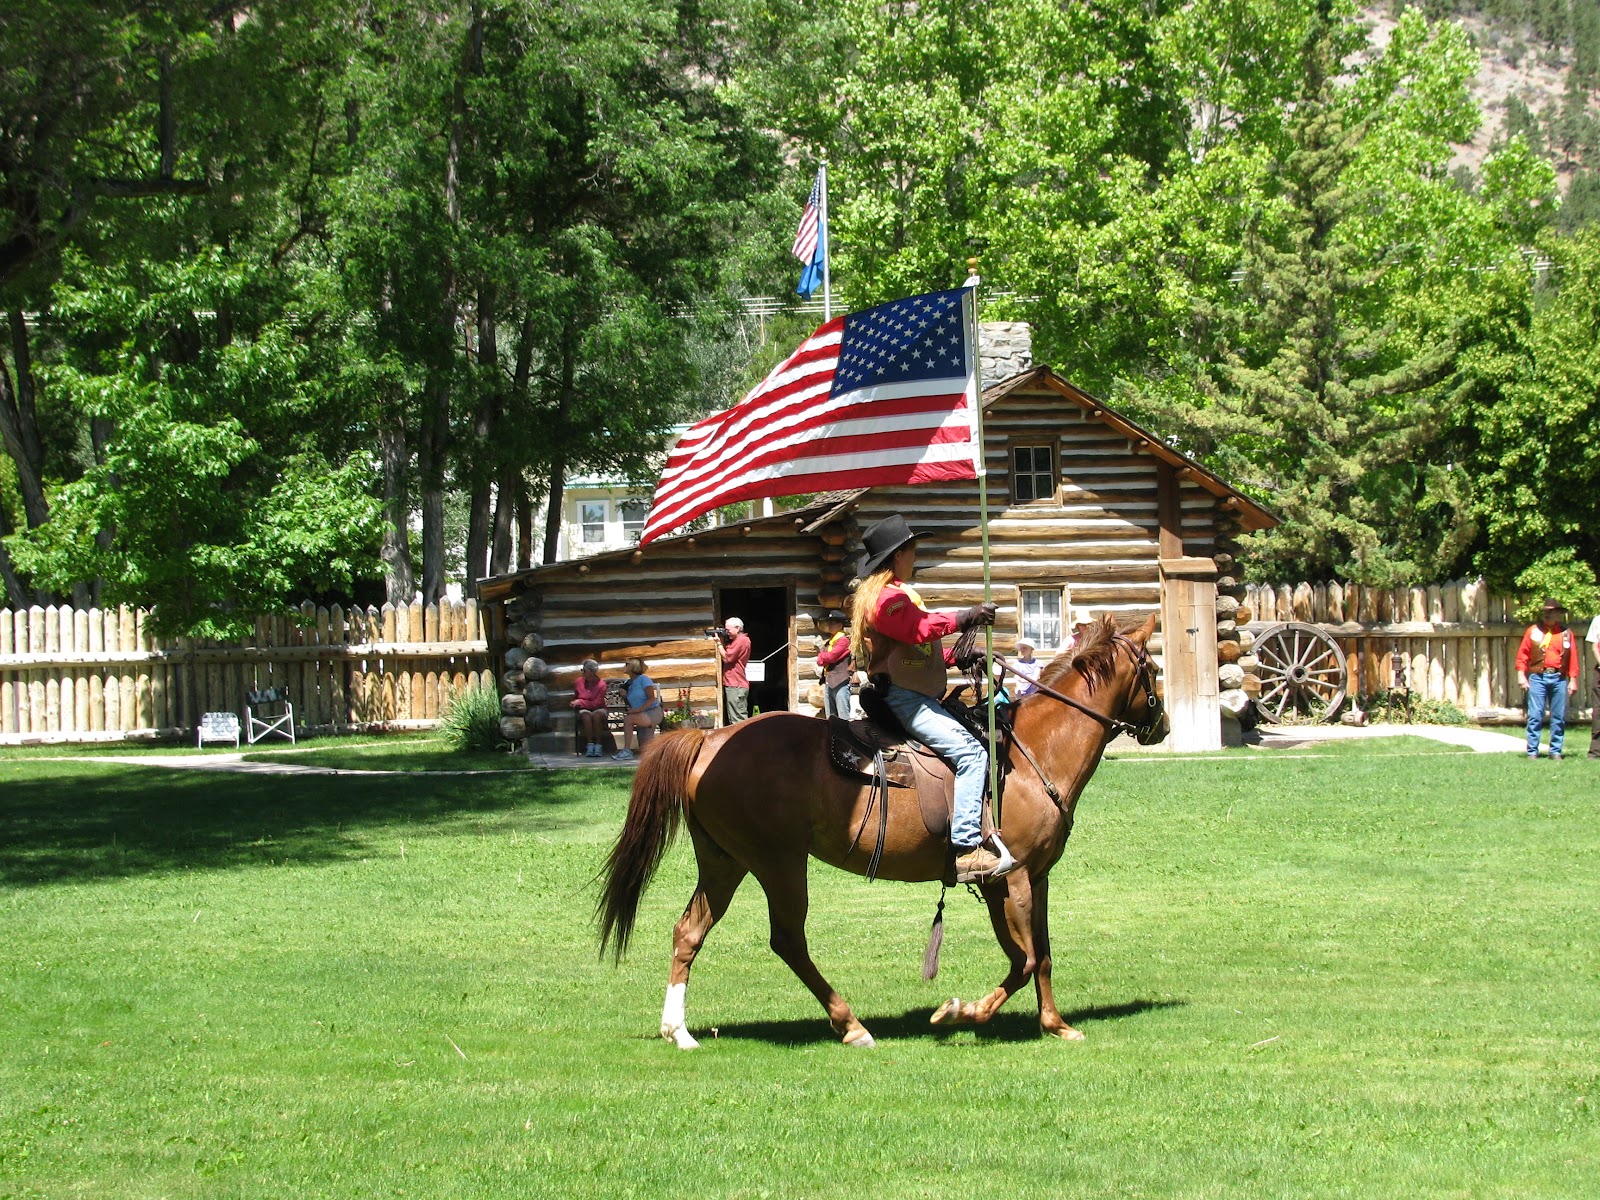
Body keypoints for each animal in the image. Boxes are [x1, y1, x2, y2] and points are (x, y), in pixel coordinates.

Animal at [596, 613, 1166, 1049]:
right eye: (1153, 669)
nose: (1161, 727)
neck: (1029, 755)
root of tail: (710, 739)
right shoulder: (1014, 876)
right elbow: (1024, 960)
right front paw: (962, 1011)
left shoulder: (1025, 879)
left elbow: (1038, 955)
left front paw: (1056, 1024)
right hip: (778, 862)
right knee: (788, 940)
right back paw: (851, 1026)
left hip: (724, 861)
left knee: (689, 931)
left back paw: (679, 1031)